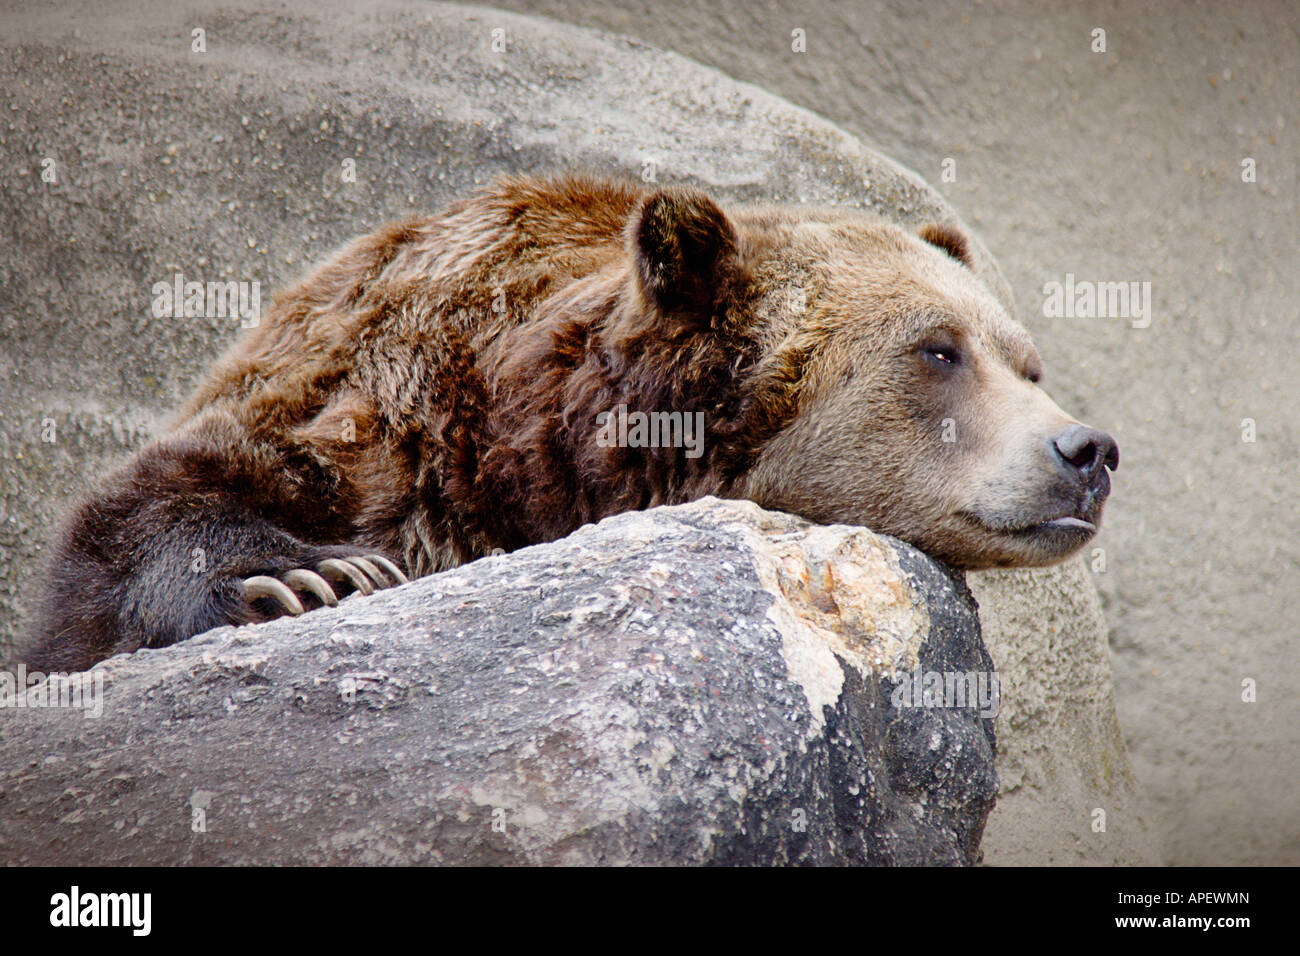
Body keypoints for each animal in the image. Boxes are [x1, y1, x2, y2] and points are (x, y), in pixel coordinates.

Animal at [24, 173, 1117, 672]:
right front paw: (305, 575)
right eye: (937, 350)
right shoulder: (374, 408)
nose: (1086, 449)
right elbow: (137, 520)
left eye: (1027, 362)